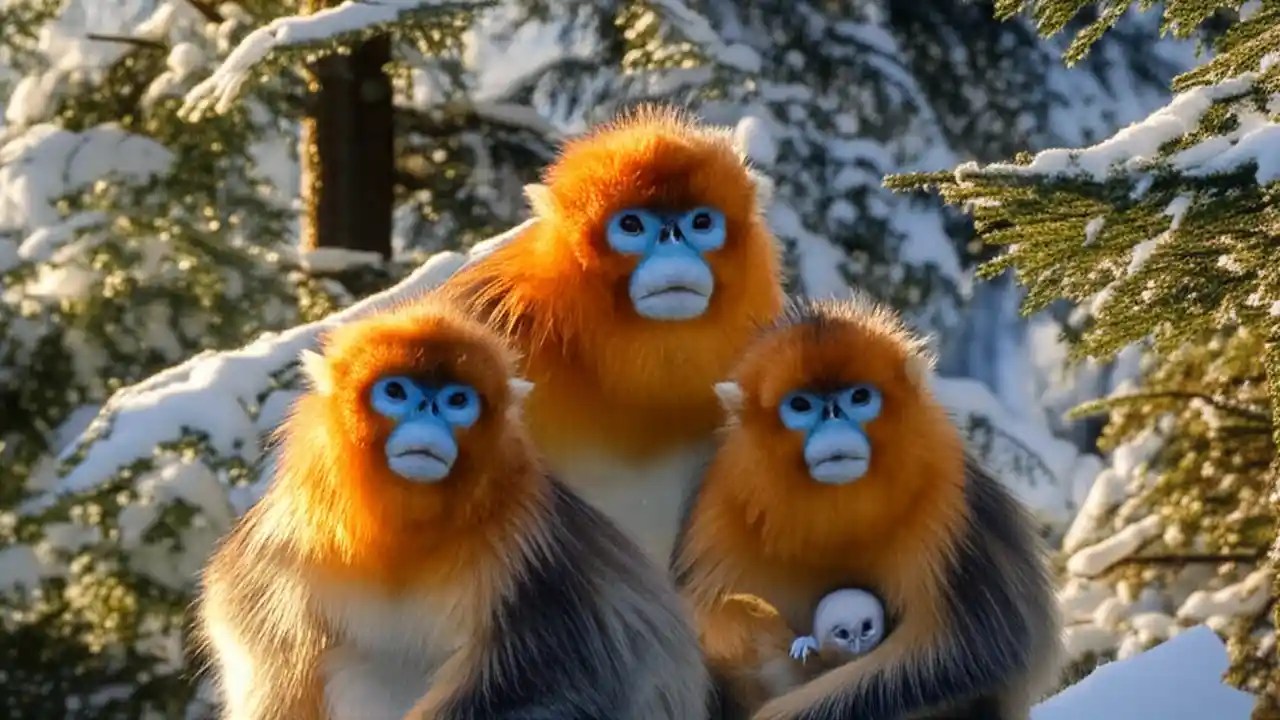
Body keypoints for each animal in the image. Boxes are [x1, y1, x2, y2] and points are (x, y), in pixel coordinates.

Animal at [193, 299, 711, 720]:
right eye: (397, 392)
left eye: (456, 401)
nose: (428, 415)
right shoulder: (284, 547)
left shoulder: (530, 549)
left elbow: (572, 681)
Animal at [673, 296, 1064, 720]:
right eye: (801, 405)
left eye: (859, 397)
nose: (834, 424)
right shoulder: (719, 517)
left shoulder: (947, 501)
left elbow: (974, 650)